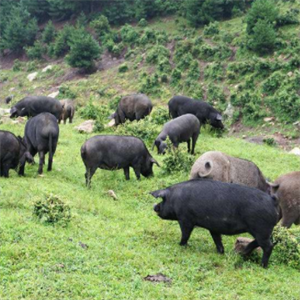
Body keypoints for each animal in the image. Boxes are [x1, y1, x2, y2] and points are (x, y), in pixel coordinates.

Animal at [151, 179, 280, 268]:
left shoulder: (185, 219)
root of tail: (272, 201)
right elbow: (217, 239)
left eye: (163, 199)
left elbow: (185, 234)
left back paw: (262, 266)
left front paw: (181, 245)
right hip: (264, 230)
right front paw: (221, 252)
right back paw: (241, 253)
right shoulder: (213, 227)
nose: (154, 207)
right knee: (267, 242)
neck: (175, 198)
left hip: (261, 228)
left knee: (268, 246)